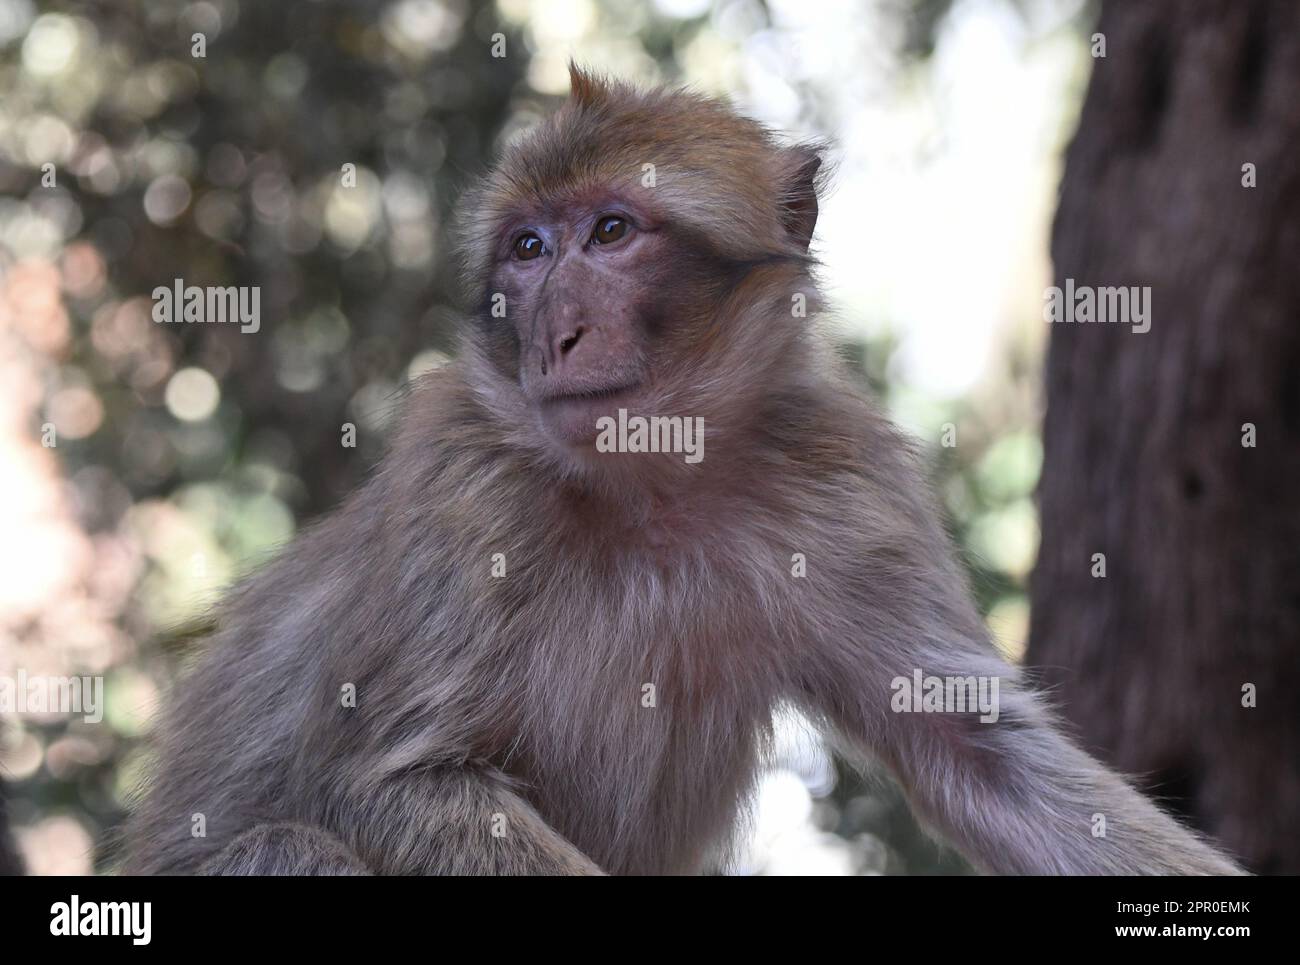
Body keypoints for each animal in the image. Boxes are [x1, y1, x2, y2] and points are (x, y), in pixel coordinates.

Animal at [123, 67, 1243, 876]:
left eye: (612, 231)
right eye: (528, 248)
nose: (555, 333)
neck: (653, 475)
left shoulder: (849, 484)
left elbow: (980, 751)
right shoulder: (462, 488)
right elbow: (388, 780)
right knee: (289, 848)